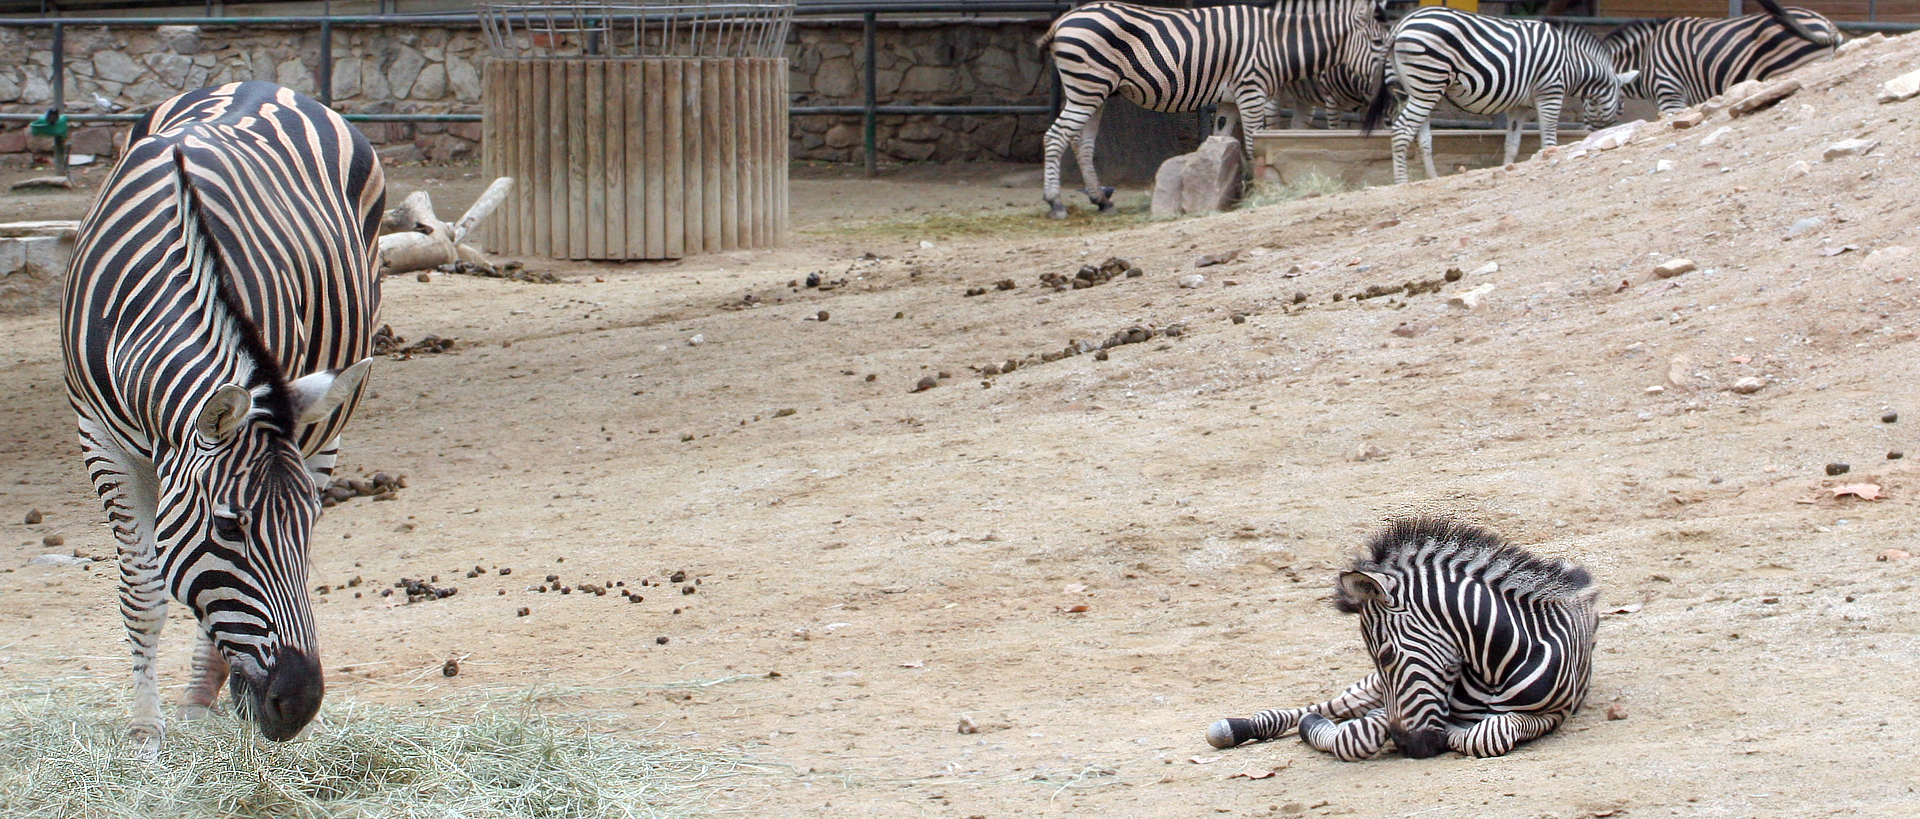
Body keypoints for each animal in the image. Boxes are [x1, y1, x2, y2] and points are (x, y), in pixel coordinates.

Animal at [61, 81, 384, 753]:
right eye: (230, 526)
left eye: (312, 524)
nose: (299, 703)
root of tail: (266, 84)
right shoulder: (97, 434)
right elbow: (142, 589)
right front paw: (144, 729)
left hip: (325, 424)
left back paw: (206, 697)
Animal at [1037, 0, 1388, 219]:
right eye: (1379, 44)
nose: (1386, 88)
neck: (1276, 43)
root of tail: (1062, 21)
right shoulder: (1251, 90)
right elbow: (1252, 143)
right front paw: (1253, 192)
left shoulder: (1229, 100)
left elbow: (1223, 141)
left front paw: (1225, 187)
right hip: (1088, 86)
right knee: (1055, 137)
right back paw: (1055, 202)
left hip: (1094, 90)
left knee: (1081, 142)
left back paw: (1100, 199)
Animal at [1205, 519, 1599, 760]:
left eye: (1386, 656)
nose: (1410, 745)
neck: (1493, 663)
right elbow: (1356, 735)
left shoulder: (1553, 714)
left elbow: (1487, 734)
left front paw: (1455, 734)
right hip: (1367, 688)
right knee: (1325, 706)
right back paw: (1238, 727)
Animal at [1362, 7, 1639, 185]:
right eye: (1621, 105)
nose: (1597, 135)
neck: (1573, 65)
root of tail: (1402, 22)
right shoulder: (1550, 92)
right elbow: (1549, 137)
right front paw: (1549, 159)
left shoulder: (1520, 107)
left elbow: (1512, 144)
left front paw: (1508, 168)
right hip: (1428, 82)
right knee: (1401, 130)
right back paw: (1401, 182)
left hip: (1414, 90)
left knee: (1422, 137)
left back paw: (1432, 178)